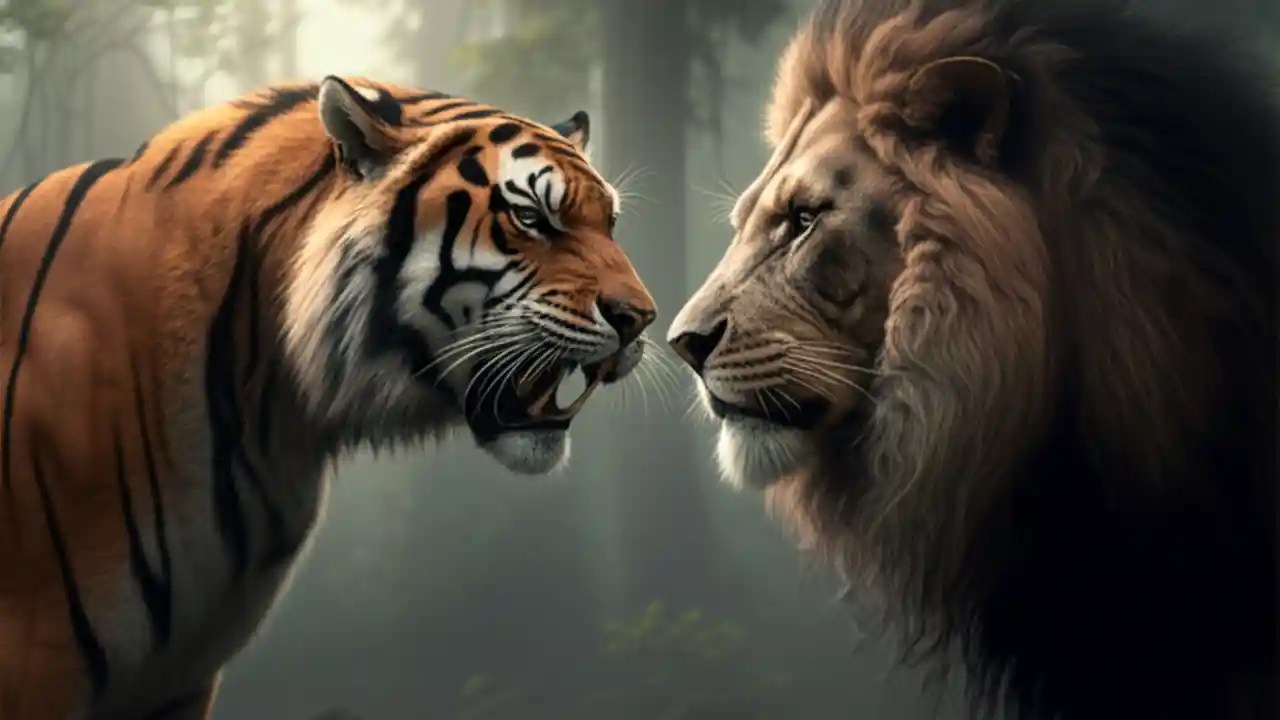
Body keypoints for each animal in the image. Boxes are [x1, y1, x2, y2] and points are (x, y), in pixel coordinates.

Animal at [0, 75, 655, 720]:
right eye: (531, 218)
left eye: (610, 223)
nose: (641, 320)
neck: (269, 398)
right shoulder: (38, 656)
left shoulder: (180, 678)